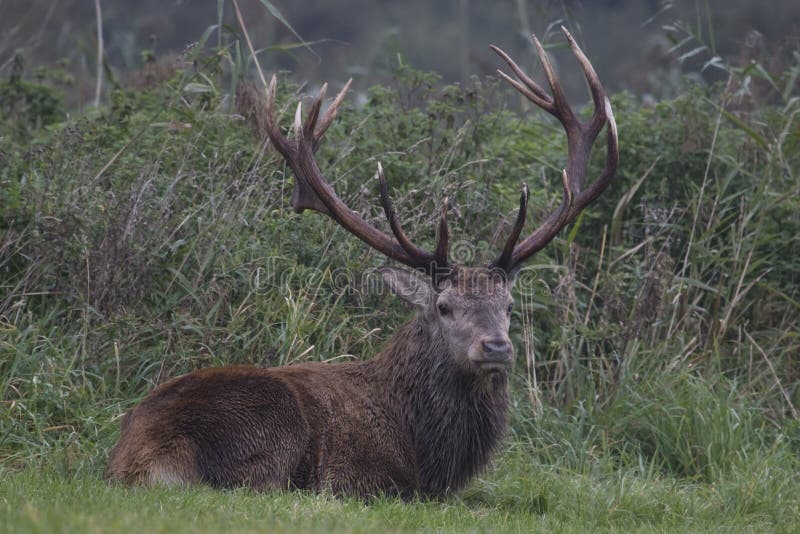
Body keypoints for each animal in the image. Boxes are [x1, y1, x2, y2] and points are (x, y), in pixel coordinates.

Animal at [106, 27, 618, 498]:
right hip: (271, 427)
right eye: (444, 306)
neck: (428, 453)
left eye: (509, 305)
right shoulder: (362, 478)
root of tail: (138, 457)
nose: (496, 346)